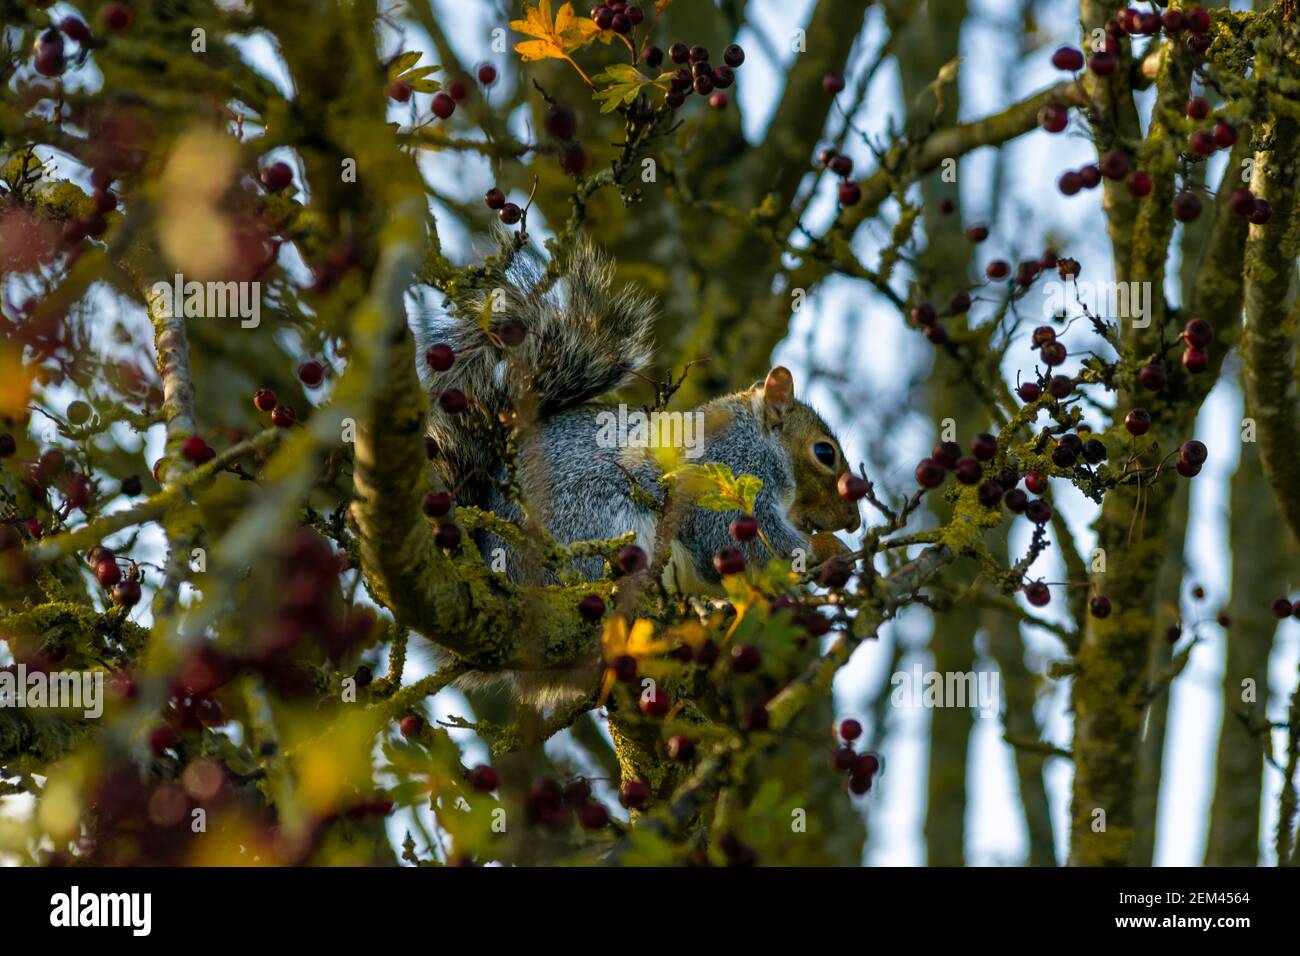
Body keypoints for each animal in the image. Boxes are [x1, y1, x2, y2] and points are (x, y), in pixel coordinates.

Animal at [420, 239, 861, 705]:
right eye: (824, 452)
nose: (854, 522)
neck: (759, 436)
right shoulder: (730, 468)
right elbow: (743, 538)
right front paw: (829, 548)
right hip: (598, 529)